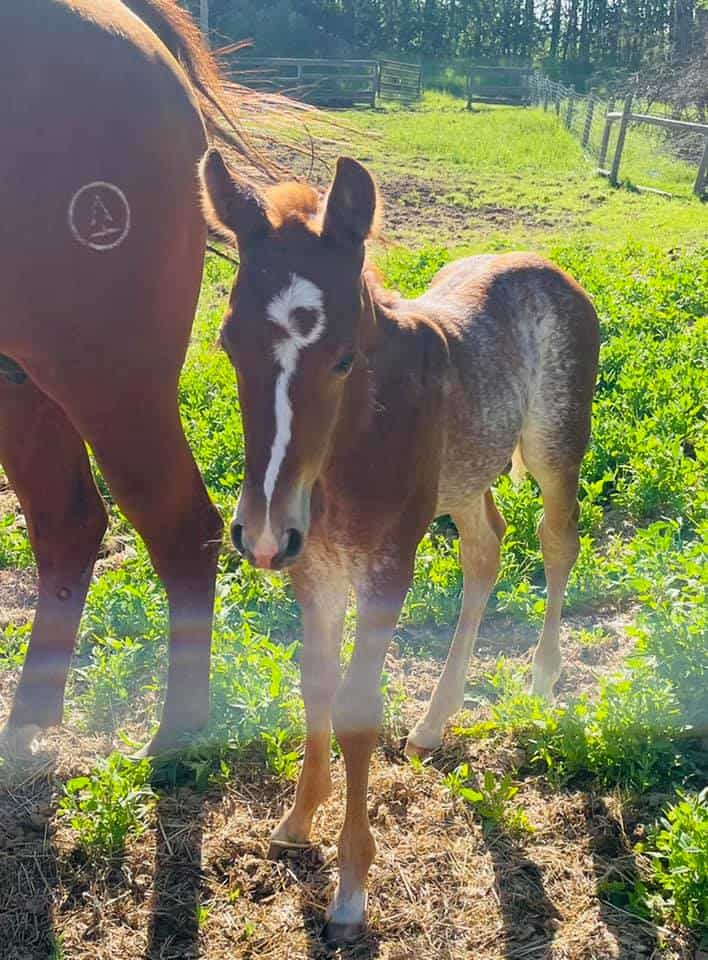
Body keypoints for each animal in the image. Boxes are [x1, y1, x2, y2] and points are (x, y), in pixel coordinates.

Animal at [200, 147, 600, 942]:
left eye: (343, 357)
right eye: (228, 343)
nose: (260, 535)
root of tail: (547, 266)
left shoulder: (388, 567)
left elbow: (356, 707)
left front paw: (351, 889)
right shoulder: (314, 569)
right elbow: (315, 684)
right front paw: (297, 821)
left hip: (554, 450)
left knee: (556, 540)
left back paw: (541, 679)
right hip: (463, 482)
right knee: (487, 550)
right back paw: (432, 725)